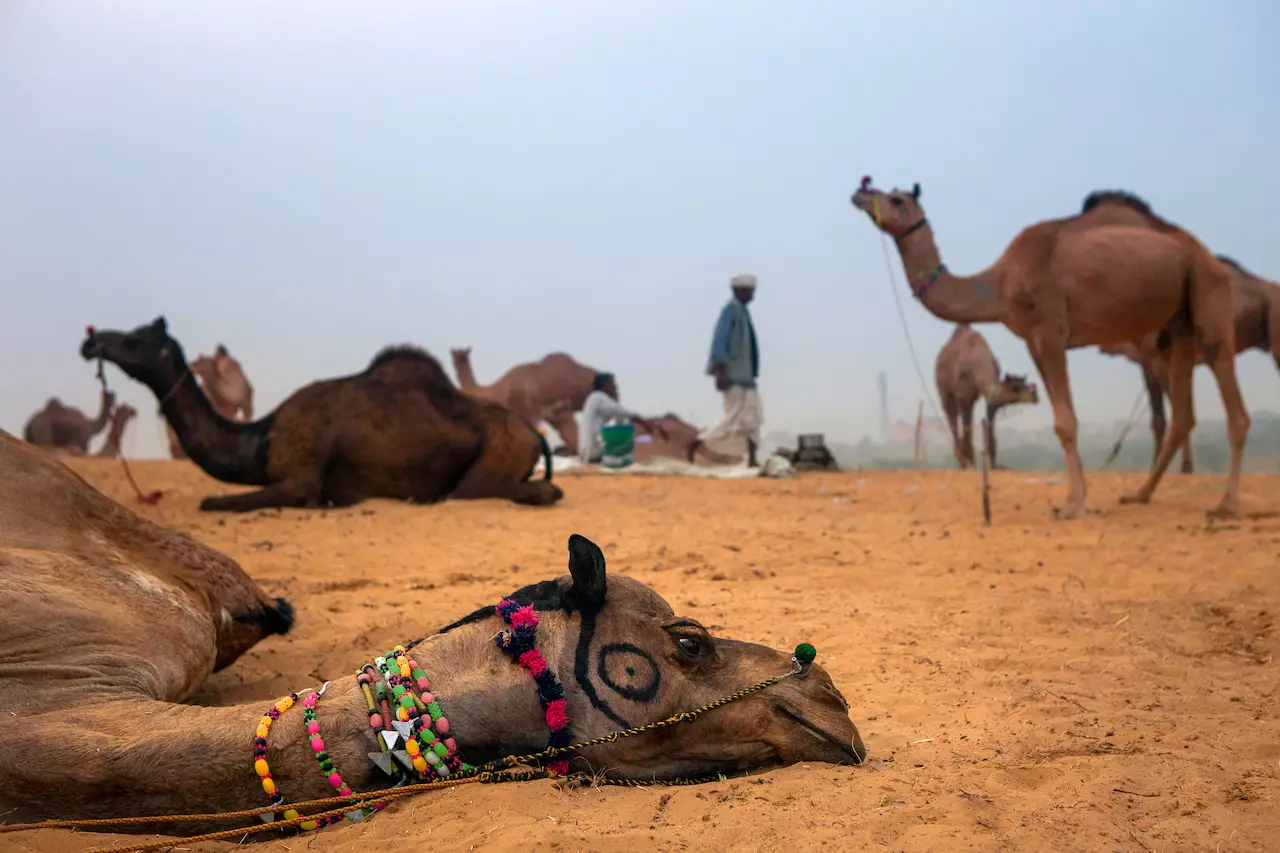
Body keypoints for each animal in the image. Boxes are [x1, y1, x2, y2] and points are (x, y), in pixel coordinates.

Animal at [80, 315, 560, 507]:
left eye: (134, 340)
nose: (91, 341)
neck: (260, 438)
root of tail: (534, 434)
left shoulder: (299, 479)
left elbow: (212, 502)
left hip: (494, 458)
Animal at [931, 322, 1039, 468]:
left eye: (1024, 383)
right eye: (1015, 388)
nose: (1035, 394)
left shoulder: (990, 399)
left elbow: (992, 441)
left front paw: (993, 467)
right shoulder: (964, 398)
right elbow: (967, 441)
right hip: (944, 393)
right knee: (952, 419)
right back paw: (962, 464)